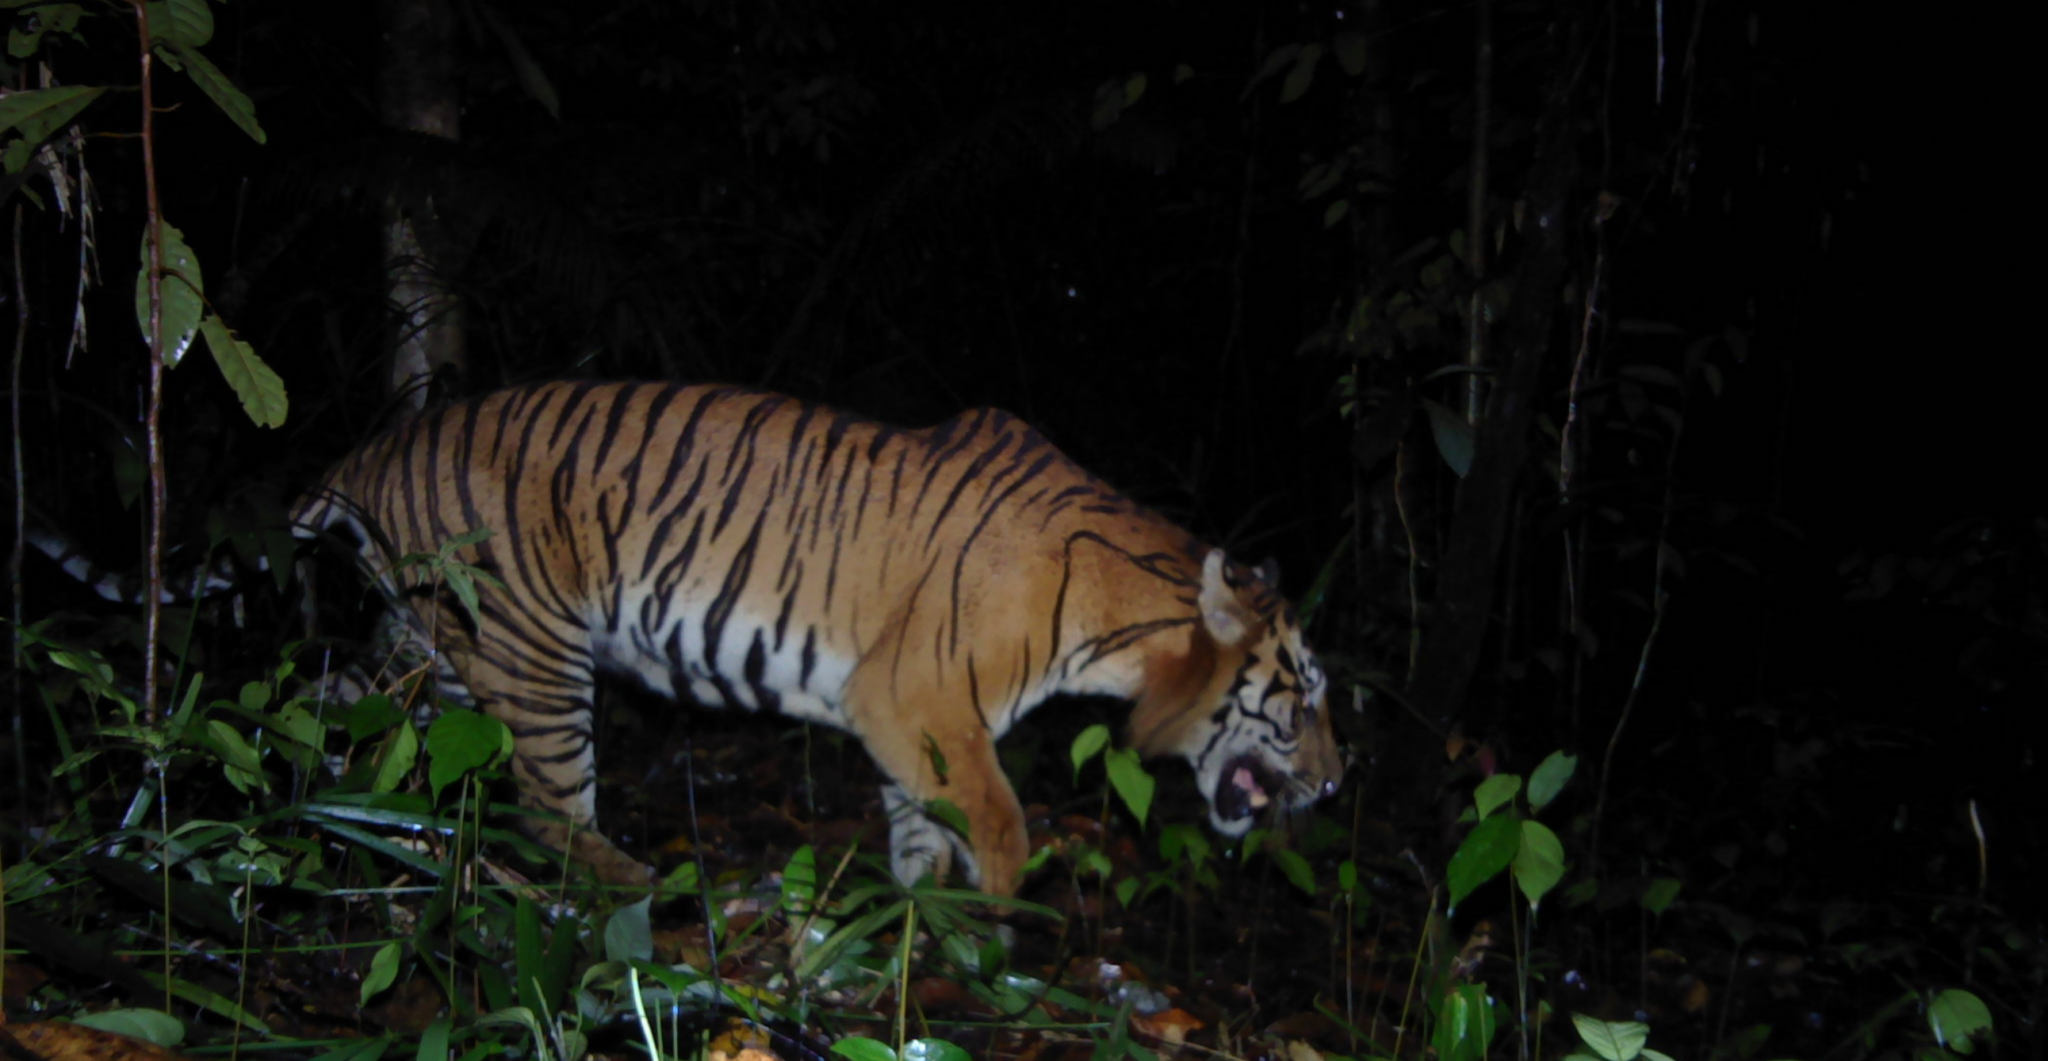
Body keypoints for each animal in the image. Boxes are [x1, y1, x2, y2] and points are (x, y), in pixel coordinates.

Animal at [289, 380, 1343, 895]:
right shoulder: (914, 696)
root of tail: (374, 449)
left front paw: (918, 931)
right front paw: (997, 933)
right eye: (1304, 695)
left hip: (433, 647)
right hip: (532, 650)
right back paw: (641, 887)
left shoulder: (920, 723)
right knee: (553, 813)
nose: (1339, 782)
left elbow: (926, 830)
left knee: (344, 717)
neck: (1119, 624)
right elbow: (1002, 824)